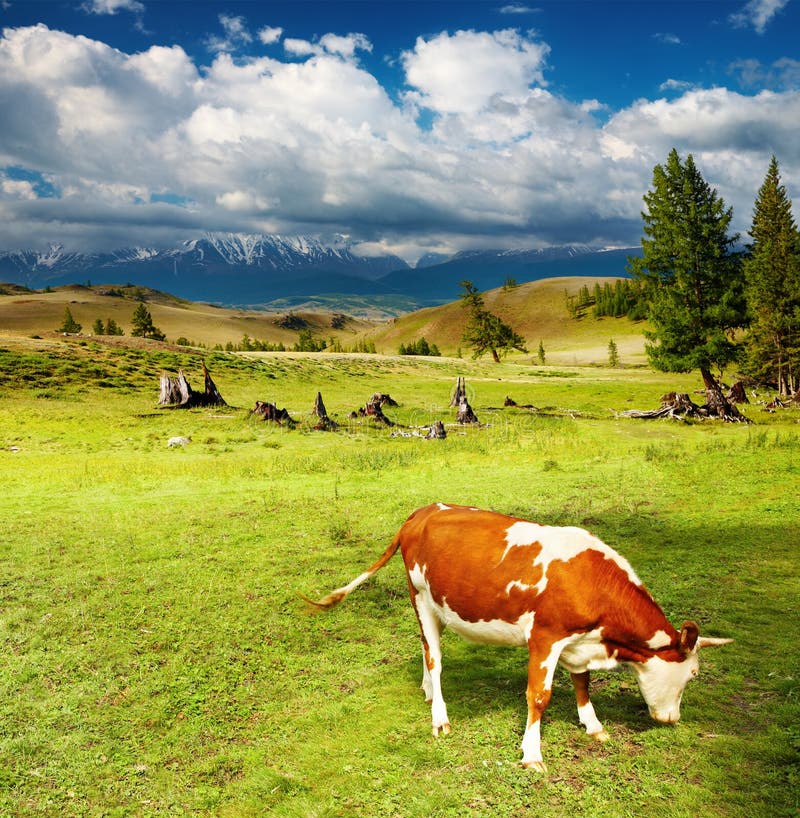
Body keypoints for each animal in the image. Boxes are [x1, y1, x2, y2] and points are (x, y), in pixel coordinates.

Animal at [304, 503, 732, 772]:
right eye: (692, 675)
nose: (672, 719)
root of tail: (422, 512)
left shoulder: (577, 641)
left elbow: (582, 682)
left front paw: (593, 725)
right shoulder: (545, 637)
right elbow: (539, 696)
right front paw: (532, 754)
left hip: (434, 605)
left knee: (425, 646)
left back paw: (426, 691)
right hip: (420, 596)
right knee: (435, 658)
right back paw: (439, 716)